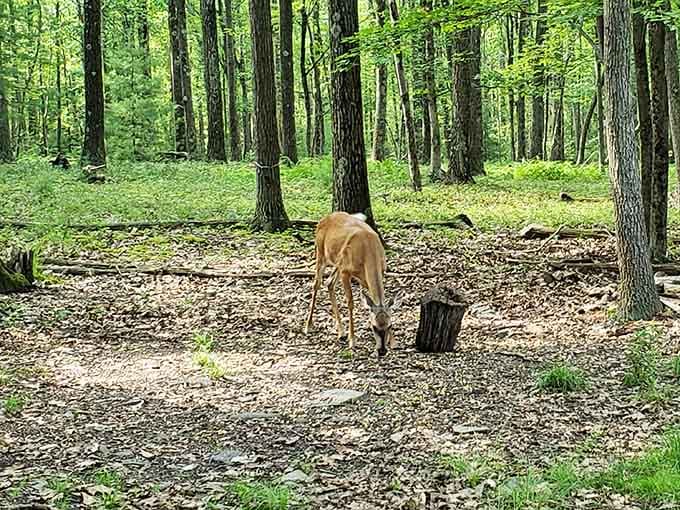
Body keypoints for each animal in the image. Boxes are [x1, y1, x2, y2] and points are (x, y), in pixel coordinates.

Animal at [304, 211, 399, 356]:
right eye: (374, 327)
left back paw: (341, 333)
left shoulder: (377, 272)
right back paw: (308, 326)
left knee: (329, 282)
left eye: (390, 325)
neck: (368, 251)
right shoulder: (345, 272)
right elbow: (350, 303)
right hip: (321, 254)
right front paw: (352, 340)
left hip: (337, 262)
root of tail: (324, 218)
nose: (382, 351)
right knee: (317, 284)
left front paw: (393, 342)